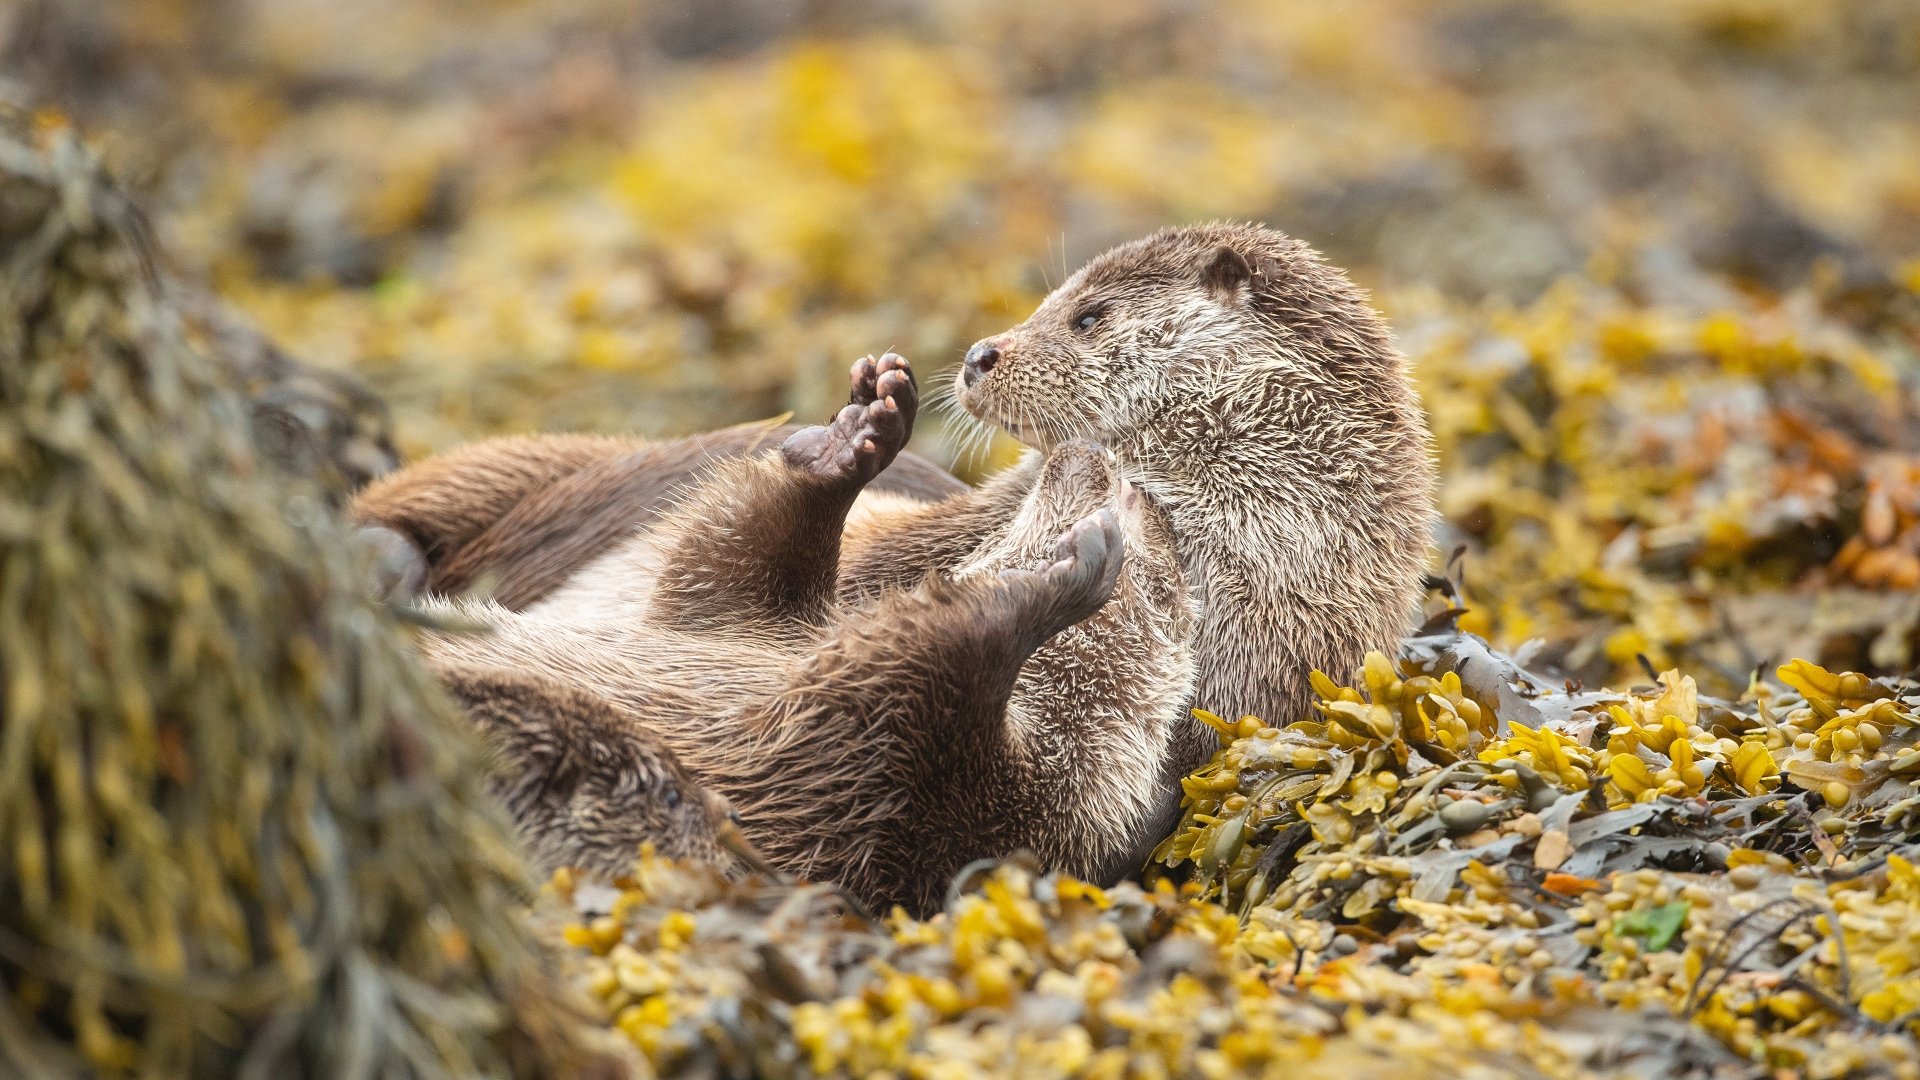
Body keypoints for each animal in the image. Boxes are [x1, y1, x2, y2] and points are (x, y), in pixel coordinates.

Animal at [415, 356, 1193, 912]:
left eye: (1152, 545)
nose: (1093, 457)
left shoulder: (895, 797)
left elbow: (911, 676)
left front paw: (1066, 577)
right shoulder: (748, 629)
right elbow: (718, 568)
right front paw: (855, 436)